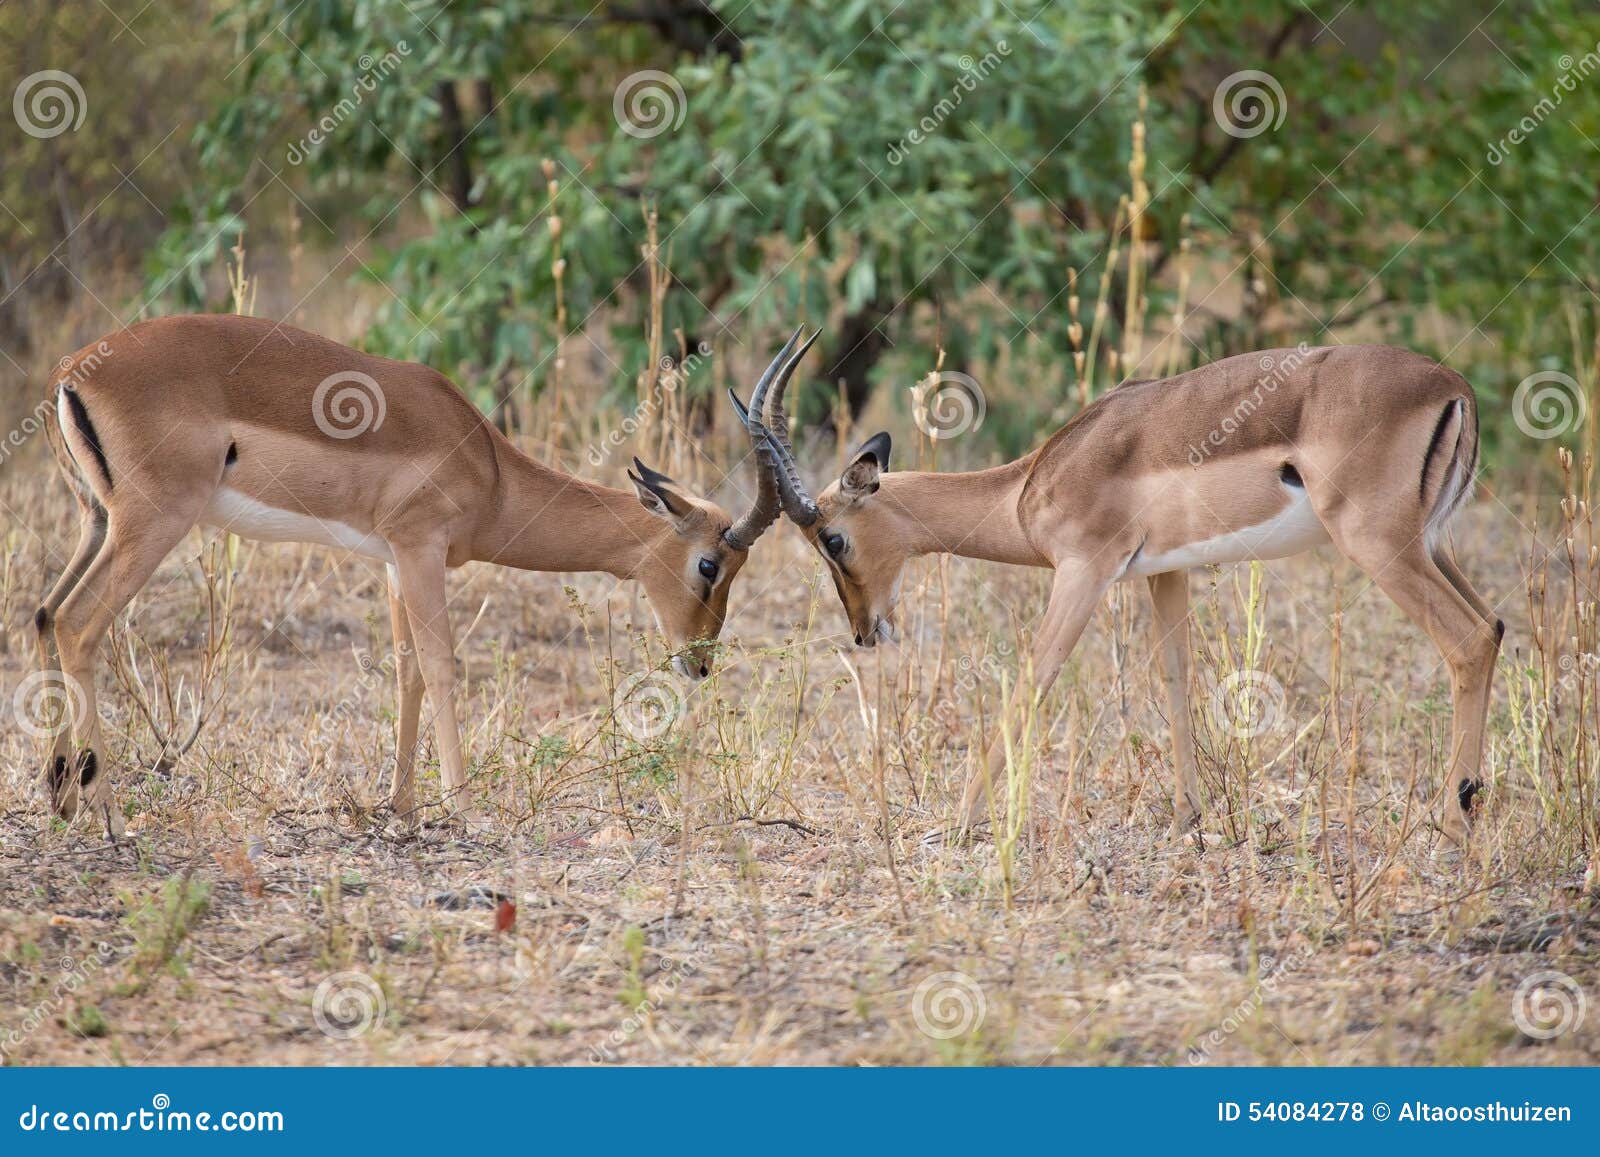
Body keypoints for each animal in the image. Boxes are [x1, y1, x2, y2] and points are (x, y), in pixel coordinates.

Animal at [33, 314, 795, 837]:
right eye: (709, 563)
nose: (700, 662)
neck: (490, 467)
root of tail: (73, 372)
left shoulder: (393, 561)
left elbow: (406, 673)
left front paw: (398, 807)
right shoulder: (421, 548)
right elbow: (443, 664)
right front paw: (464, 806)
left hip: (96, 520)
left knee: (44, 612)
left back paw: (62, 796)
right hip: (153, 522)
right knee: (77, 623)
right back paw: (110, 815)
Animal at [736, 337, 1502, 846]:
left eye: (832, 539)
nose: (865, 631)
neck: (1026, 488)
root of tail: (1453, 385)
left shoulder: (1083, 570)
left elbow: (1032, 677)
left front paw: (959, 820)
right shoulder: (1165, 572)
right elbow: (1176, 678)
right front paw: (1190, 818)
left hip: (1377, 544)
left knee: (1465, 640)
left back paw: (1452, 820)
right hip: (1433, 544)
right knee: (1493, 627)